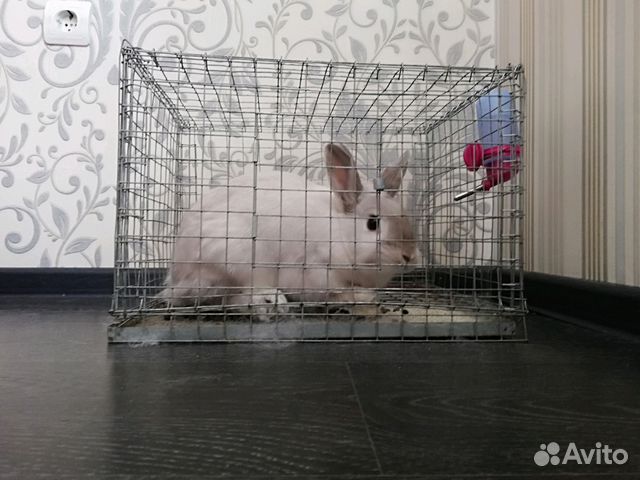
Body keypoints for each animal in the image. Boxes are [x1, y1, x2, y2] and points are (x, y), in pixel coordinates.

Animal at [161, 143, 420, 320]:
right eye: (372, 224)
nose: (408, 256)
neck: (337, 230)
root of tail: (176, 276)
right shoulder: (314, 273)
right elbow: (335, 293)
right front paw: (362, 297)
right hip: (232, 260)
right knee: (228, 299)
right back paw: (271, 302)